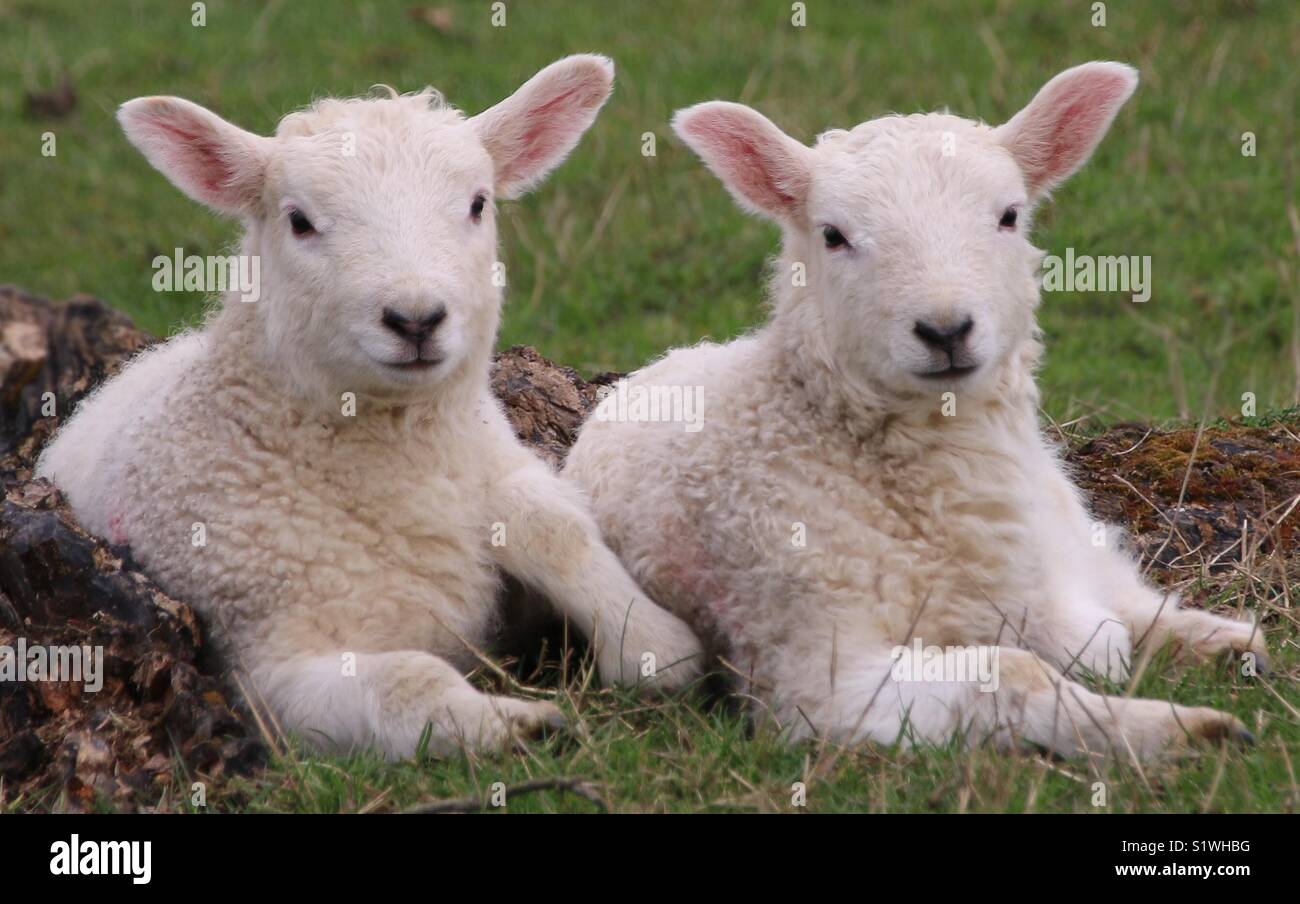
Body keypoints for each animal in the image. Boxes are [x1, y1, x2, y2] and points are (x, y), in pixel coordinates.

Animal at [37, 55, 704, 760]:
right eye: (299, 220)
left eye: (478, 204)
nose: (416, 319)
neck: (401, 461)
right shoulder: (268, 667)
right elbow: (410, 681)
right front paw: (520, 722)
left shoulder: (495, 467)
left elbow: (555, 531)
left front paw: (658, 643)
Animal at [564, 62, 1267, 760]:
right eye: (833, 235)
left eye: (1010, 216)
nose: (945, 330)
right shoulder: (821, 671)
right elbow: (1015, 671)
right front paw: (1175, 728)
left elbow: (1101, 632)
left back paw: (1224, 641)